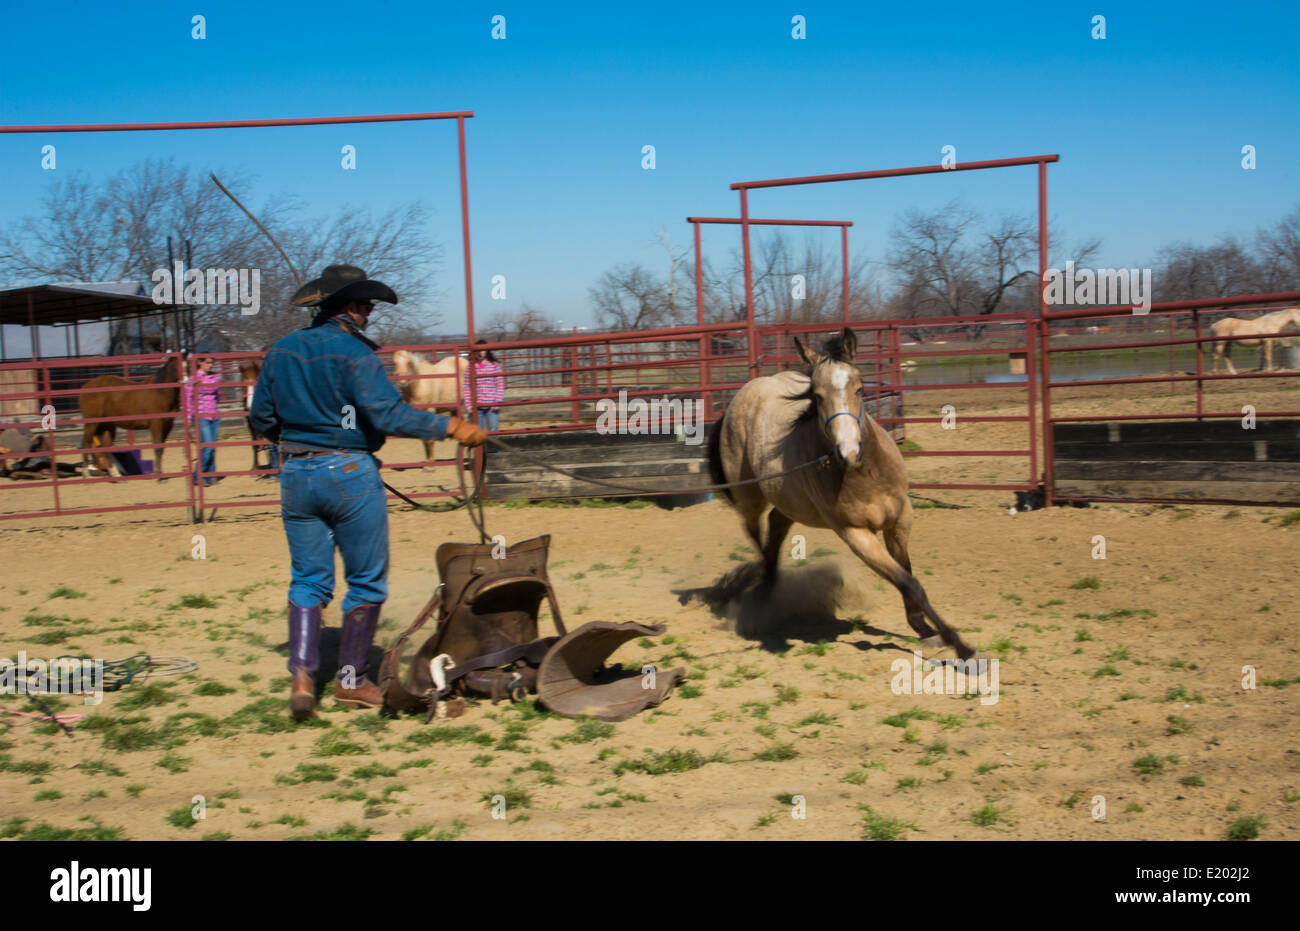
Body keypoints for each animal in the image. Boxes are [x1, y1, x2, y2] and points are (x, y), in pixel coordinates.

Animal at [707, 326, 975, 660]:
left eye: (860, 389)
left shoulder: (900, 520)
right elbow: (908, 582)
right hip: (750, 497)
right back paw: (762, 588)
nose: (849, 452)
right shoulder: (856, 534)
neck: (865, 476)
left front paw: (923, 627)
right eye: (818, 396)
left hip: (790, 502)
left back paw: (767, 583)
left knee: (777, 527)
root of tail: (741, 396)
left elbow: (907, 574)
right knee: (755, 532)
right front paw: (958, 644)